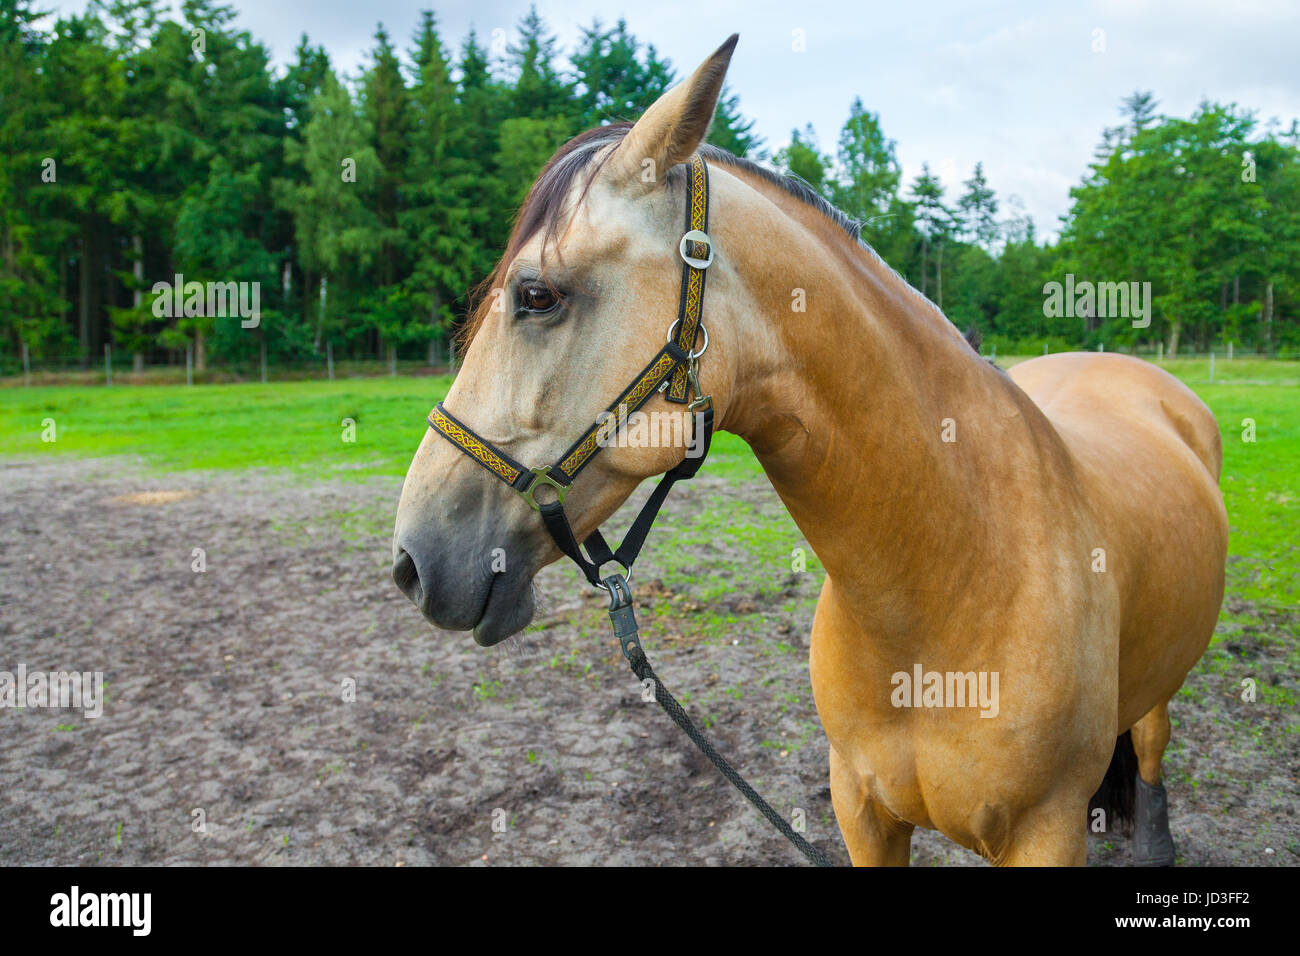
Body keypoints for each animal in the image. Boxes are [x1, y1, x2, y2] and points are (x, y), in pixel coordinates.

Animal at [391, 35, 1228, 866]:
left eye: (537, 296)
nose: (411, 563)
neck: (952, 580)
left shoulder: (1046, 832)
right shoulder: (861, 810)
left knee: (1153, 733)